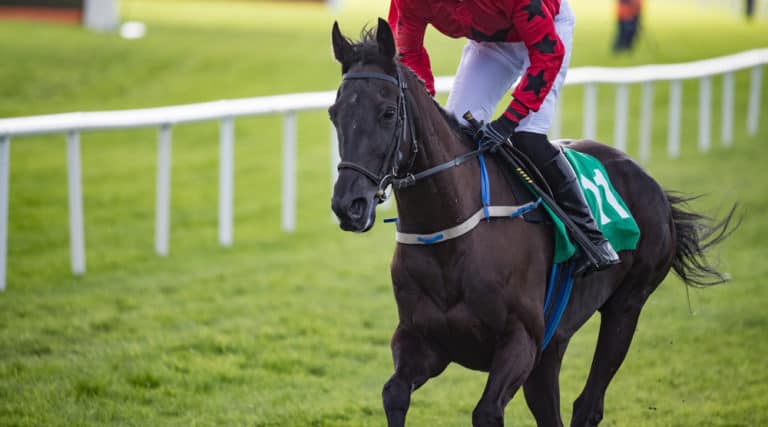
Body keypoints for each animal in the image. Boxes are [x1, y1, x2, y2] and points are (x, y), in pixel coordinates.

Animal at [329, 19, 735, 427]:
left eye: (387, 113)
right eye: (334, 113)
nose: (349, 205)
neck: (449, 237)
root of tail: (652, 184)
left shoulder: (520, 340)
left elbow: (486, 411)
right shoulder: (423, 339)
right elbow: (394, 393)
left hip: (627, 304)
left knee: (588, 403)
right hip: (553, 344)